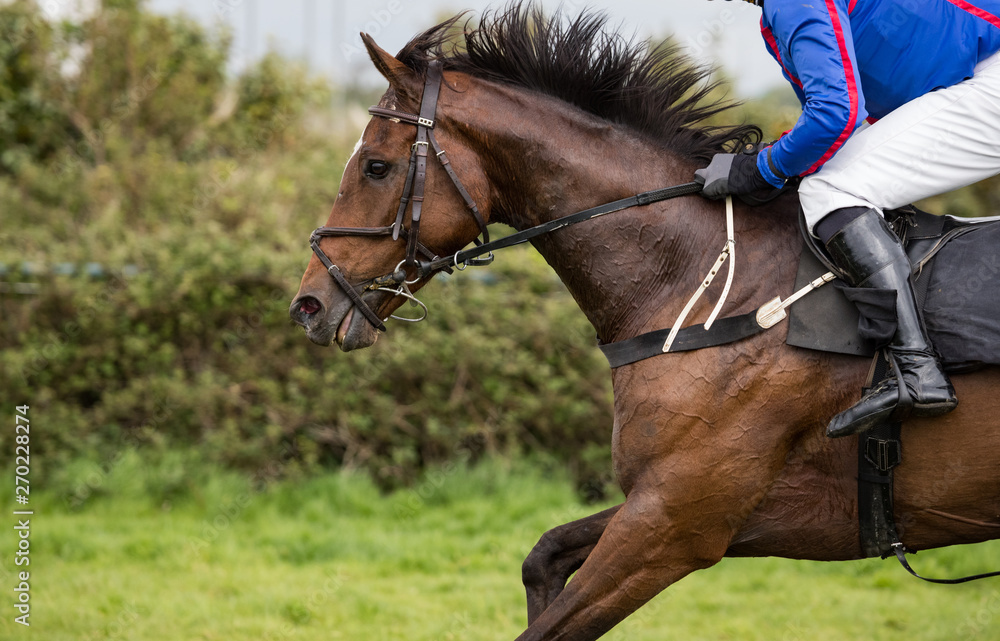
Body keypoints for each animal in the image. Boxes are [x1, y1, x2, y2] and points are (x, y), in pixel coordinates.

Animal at [288, 5, 1000, 640]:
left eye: (375, 166)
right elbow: (542, 556)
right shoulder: (692, 512)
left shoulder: (673, 526)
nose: (309, 305)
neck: (707, 285)